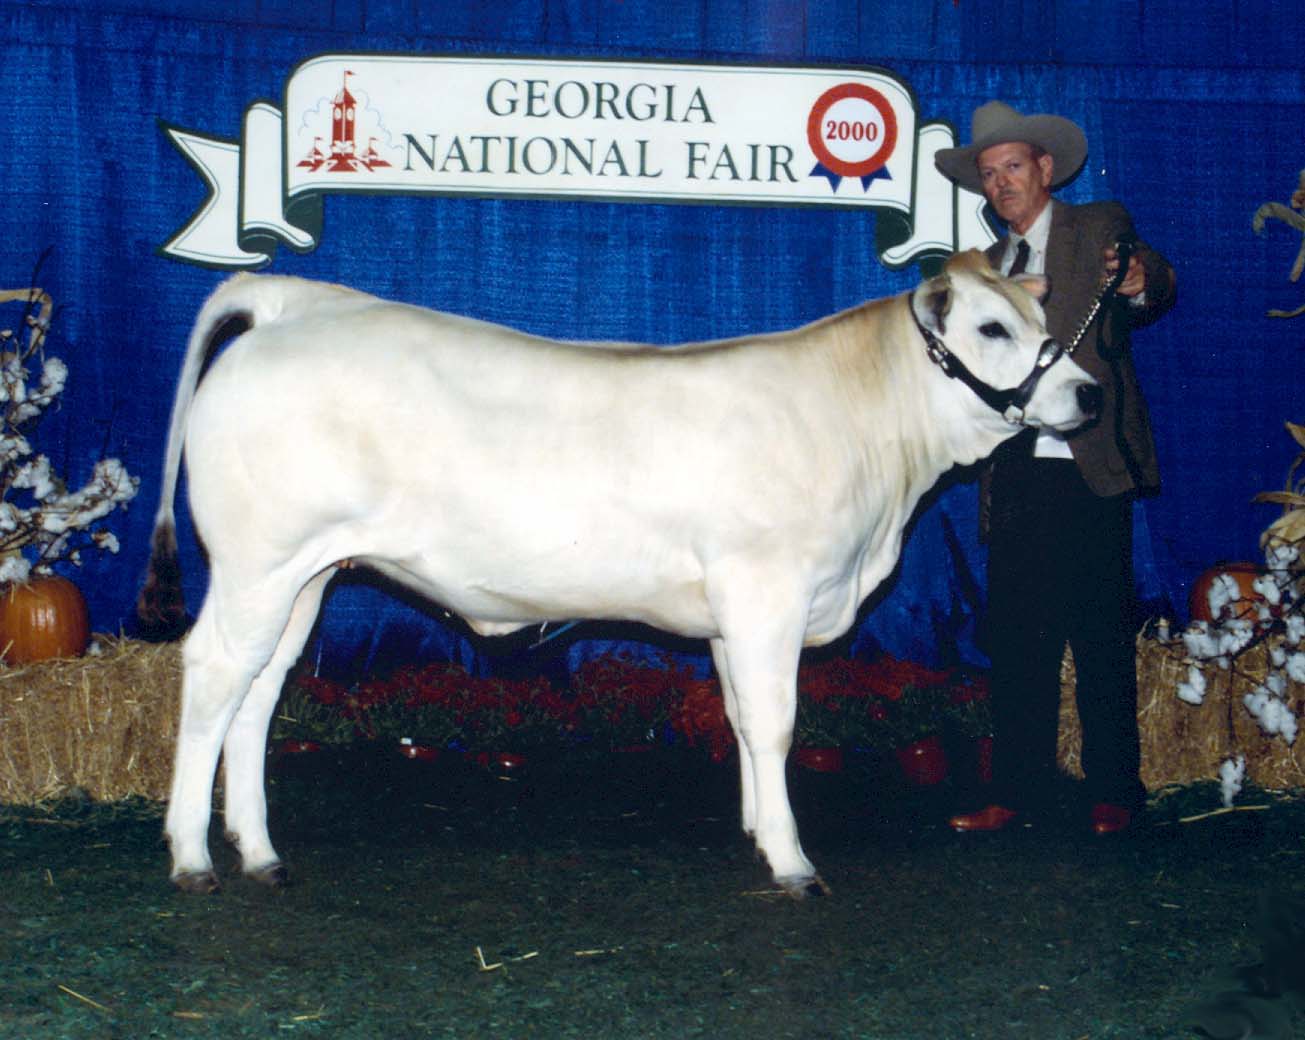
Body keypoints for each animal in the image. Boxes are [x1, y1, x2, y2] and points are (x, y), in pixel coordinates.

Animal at [138, 250, 1100, 897]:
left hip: (305, 575)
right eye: (990, 328)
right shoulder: (768, 590)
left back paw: (260, 851)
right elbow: (777, 724)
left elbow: (740, 718)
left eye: (1042, 323)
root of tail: (294, 304)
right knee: (214, 674)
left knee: (258, 693)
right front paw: (792, 860)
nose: (1088, 393)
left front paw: (757, 828)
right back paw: (191, 855)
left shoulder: (732, 613)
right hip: (257, 564)